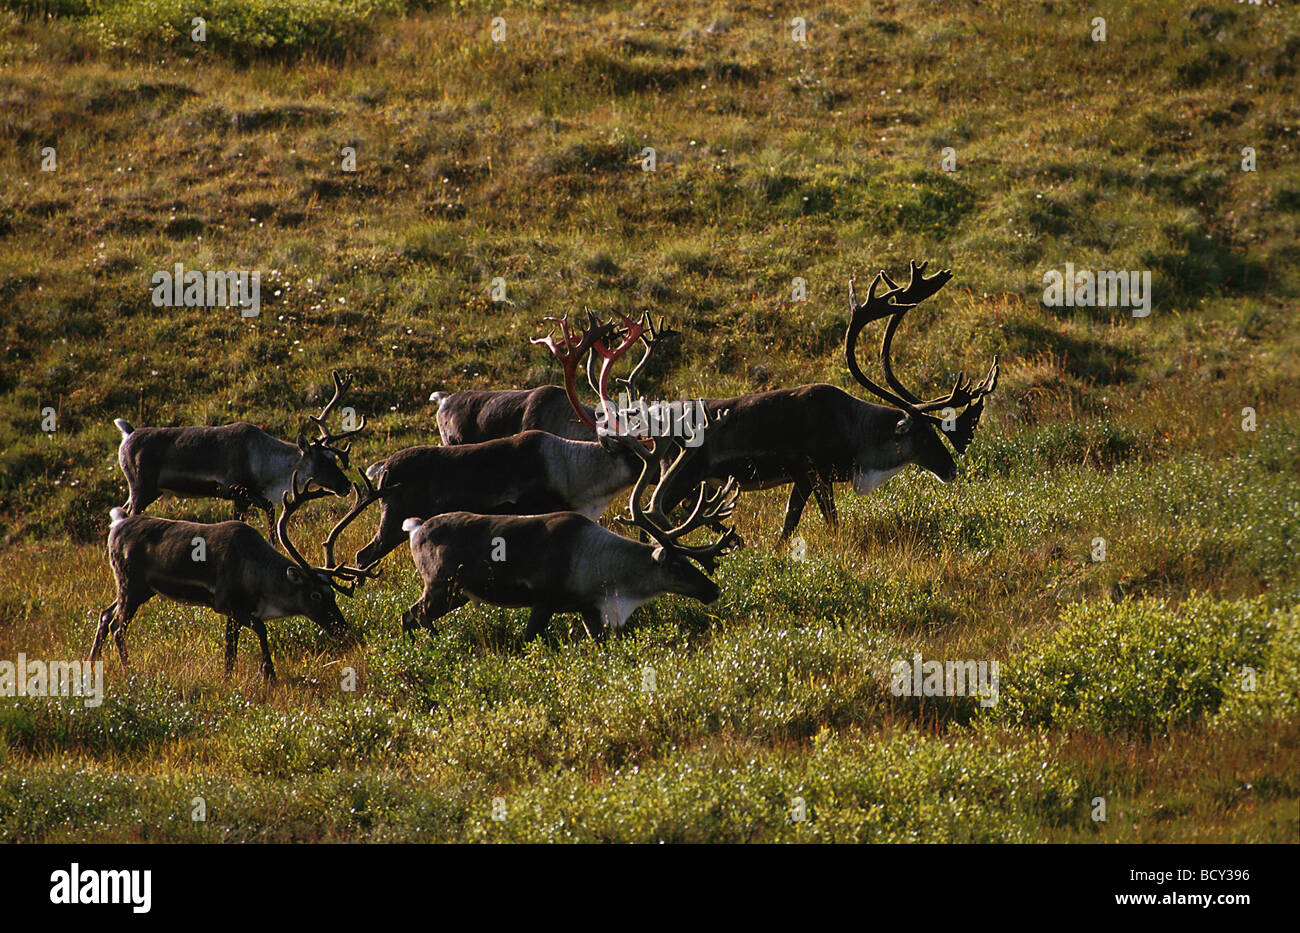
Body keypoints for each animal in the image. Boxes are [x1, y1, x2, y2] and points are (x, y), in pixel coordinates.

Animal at [90, 471, 377, 682]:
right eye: (315, 594)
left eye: (332, 593)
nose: (343, 629)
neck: (259, 578)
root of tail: (116, 526)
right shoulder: (224, 602)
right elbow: (259, 628)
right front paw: (269, 674)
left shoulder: (236, 610)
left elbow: (230, 646)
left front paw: (228, 677)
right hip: (131, 584)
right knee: (117, 626)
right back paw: (128, 671)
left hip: (140, 589)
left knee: (105, 615)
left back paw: (93, 663)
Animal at [113, 370, 364, 541]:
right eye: (321, 461)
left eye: (334, 459)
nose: (345, 485)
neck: (265, 464)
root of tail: (128, 433)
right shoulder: (234, 488)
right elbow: (270, 509)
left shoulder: (239, 499)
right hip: (141, 488)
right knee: (128, 514)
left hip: (148, 491)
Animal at [399, 408, 740, 641]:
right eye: (677, 566)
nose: (713, 590)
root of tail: (415, 527)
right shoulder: (544, 600)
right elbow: (529, 639)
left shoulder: (589, 610)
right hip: (440, 586)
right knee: (411, 615)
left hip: (457, 593)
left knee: (412, 615)